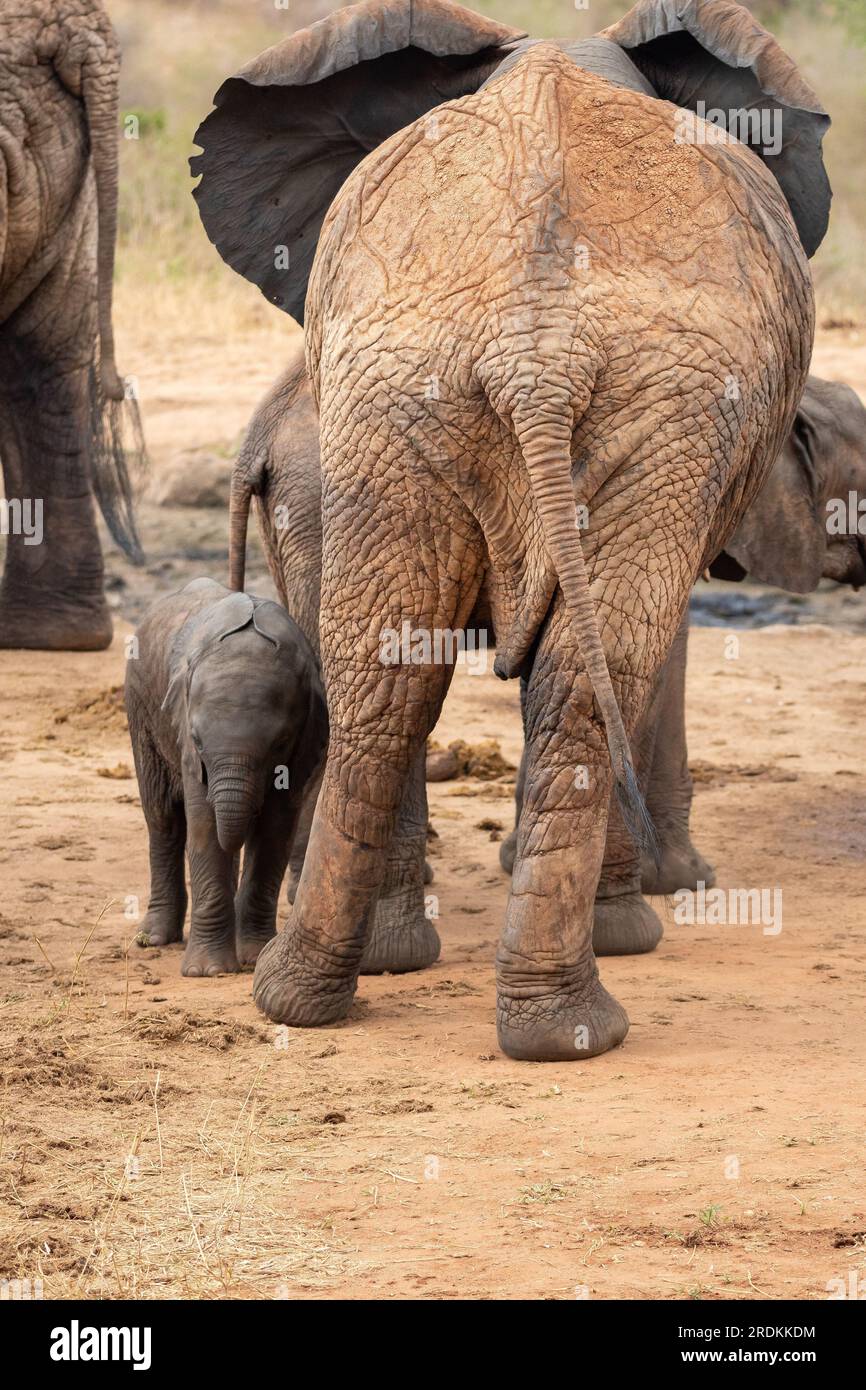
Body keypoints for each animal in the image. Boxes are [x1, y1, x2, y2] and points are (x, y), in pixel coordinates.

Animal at [125, 578, 327, 977]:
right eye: (198, 739)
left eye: (280, 742)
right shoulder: (186, 744)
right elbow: (204, 827)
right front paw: (209, 972)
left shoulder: (304, 743)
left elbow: (275, 830)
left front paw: (256, 956)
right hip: (139, 709)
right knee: (162, 819)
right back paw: (153, 939)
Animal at [192, 0, 831, 1060]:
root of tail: (540, 343)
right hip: (642, 401)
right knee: (586, 672)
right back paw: (582, 1005)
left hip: (415, 393)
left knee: (390, 673)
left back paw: (327, 994)